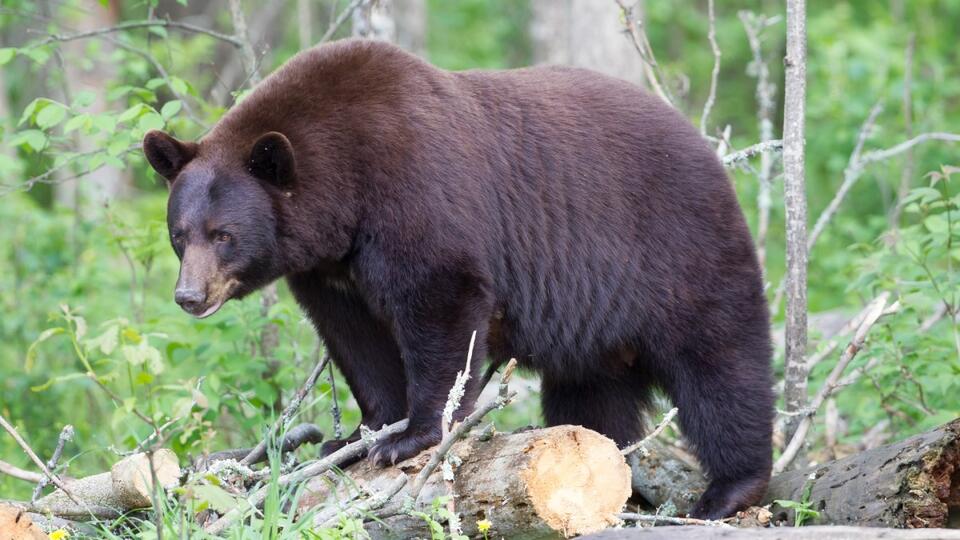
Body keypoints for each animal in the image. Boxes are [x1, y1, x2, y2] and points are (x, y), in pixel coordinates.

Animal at [142, 38, 774, 519]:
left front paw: (413, 435)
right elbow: (357, 338)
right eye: (179, 233)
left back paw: (727, 491)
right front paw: (361, 434)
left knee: (720, 367)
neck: (344, 192)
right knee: (592, 397)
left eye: (224, 235)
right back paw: (606, 457)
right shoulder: (330, 270)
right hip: (597, 328)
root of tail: (707, 149)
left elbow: (441, 304)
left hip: (678, 252)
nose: (188, 296)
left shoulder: (416, 190)